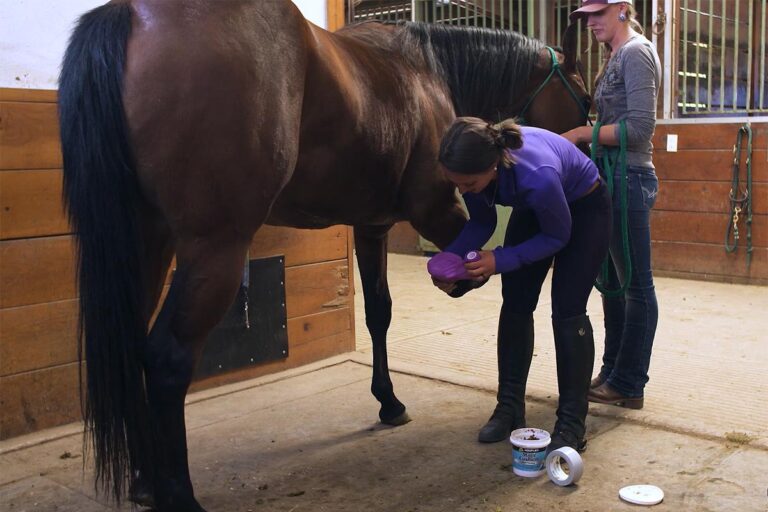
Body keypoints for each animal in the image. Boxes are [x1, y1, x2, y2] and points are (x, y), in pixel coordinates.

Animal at [58, 1, 589, 510]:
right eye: (583, 98)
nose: (586, 151)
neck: (424, 71)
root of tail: (132, 15)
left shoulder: (371, 226)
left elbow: (378, 311)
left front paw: (389, 404)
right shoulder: (435, 209)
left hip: (148, 240)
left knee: (132, 345)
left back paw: (145, 480)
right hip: (214, 250)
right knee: (168, 358)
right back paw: (178, 495)